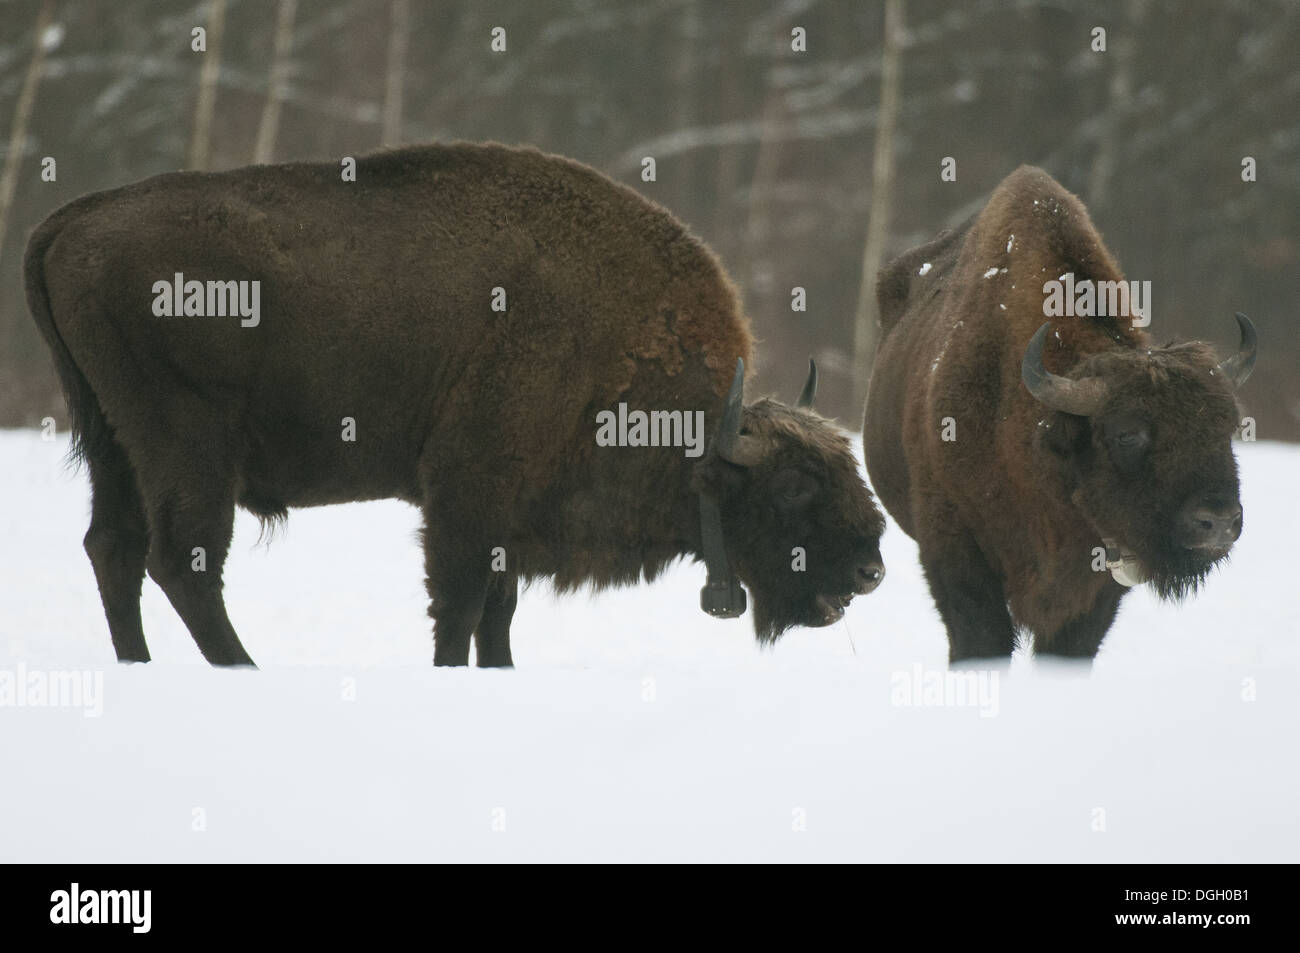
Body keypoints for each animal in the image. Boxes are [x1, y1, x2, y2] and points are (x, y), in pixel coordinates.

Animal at [27, 142, 885, 667]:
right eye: (794, 484)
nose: (871, 567)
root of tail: (74, 218)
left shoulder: (511, 515)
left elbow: (496, 617)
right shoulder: (468, 498)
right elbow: (461, 608)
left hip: (115, 445)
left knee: (115, 550)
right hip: (187, 447)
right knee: (182, 562)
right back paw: (244, 669)